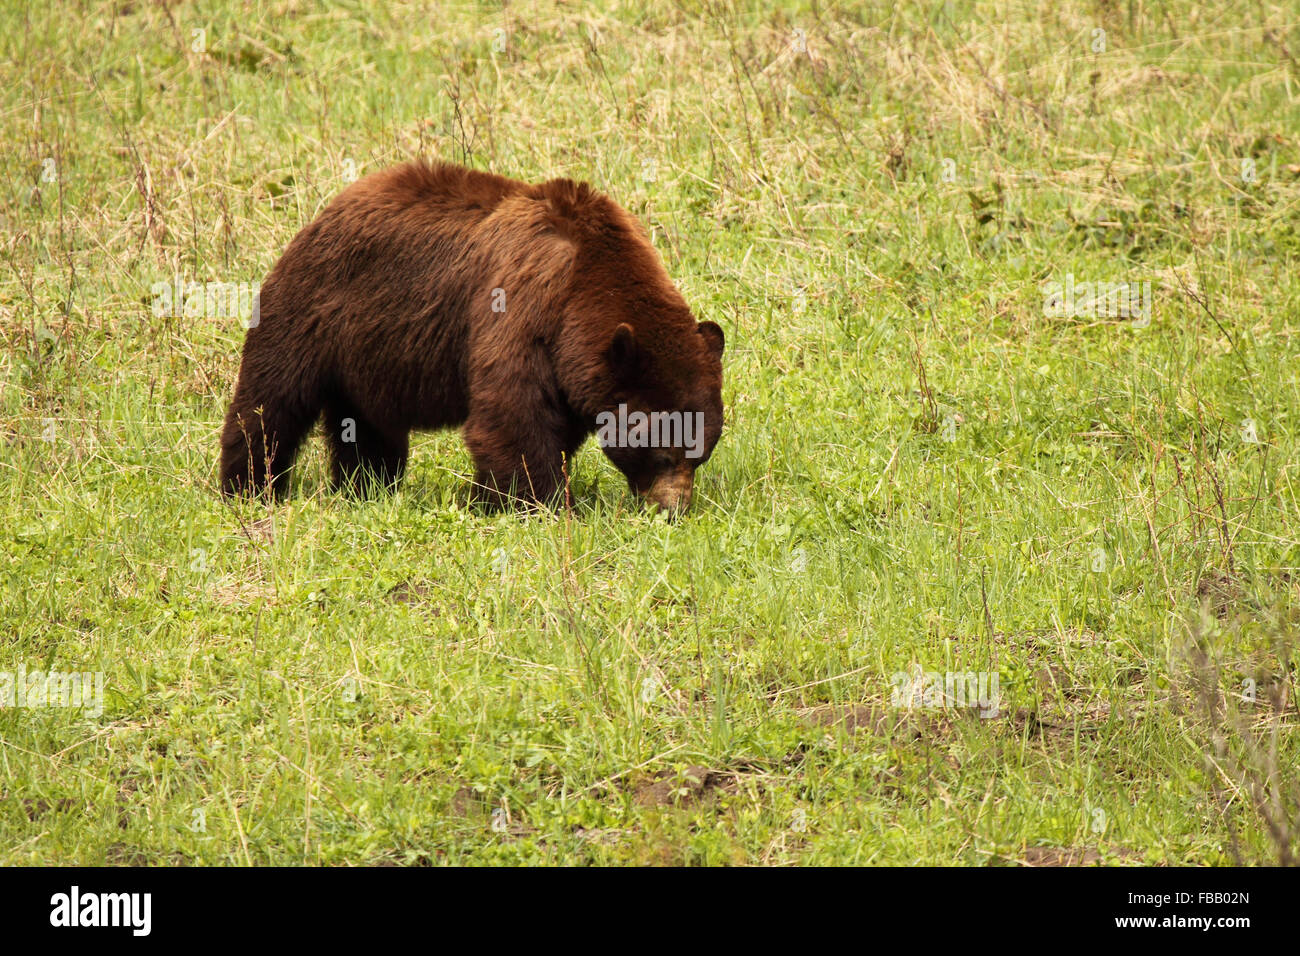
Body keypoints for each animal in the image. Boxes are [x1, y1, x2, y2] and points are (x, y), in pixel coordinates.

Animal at [219, 160, 725, 514]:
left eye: (700, 452)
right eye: (662, 451)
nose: (673, 510)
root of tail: (323, 213)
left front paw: (489, 496)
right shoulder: (523, 304)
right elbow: (513, 411)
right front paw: (539, 503)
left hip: (367, 355)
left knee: (367, 427)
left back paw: (368, 486)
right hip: (313, 308)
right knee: (271, 402)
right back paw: (247, 486)